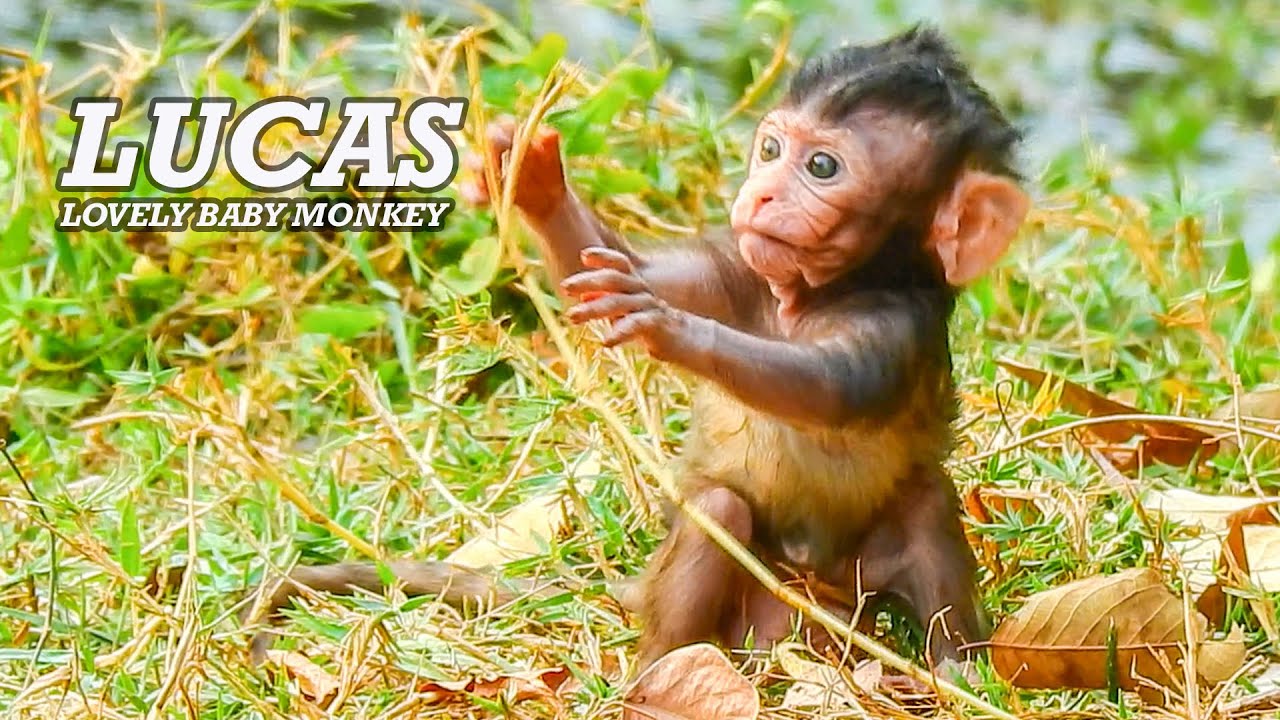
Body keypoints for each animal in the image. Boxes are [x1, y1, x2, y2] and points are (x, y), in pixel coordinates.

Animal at [242, 25, 1029, 674]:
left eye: (823, 169)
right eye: (771, 150)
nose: (763, 195)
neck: (816, 295)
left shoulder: (900, 320)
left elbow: (835, 385)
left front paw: (670, 328)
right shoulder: (737, 268)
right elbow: (616, 265)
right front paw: (532, 179)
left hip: (837, 595)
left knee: (920, 499)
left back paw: (955, 670)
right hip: (765, 605)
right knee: (720, 509)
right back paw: (664, 670)